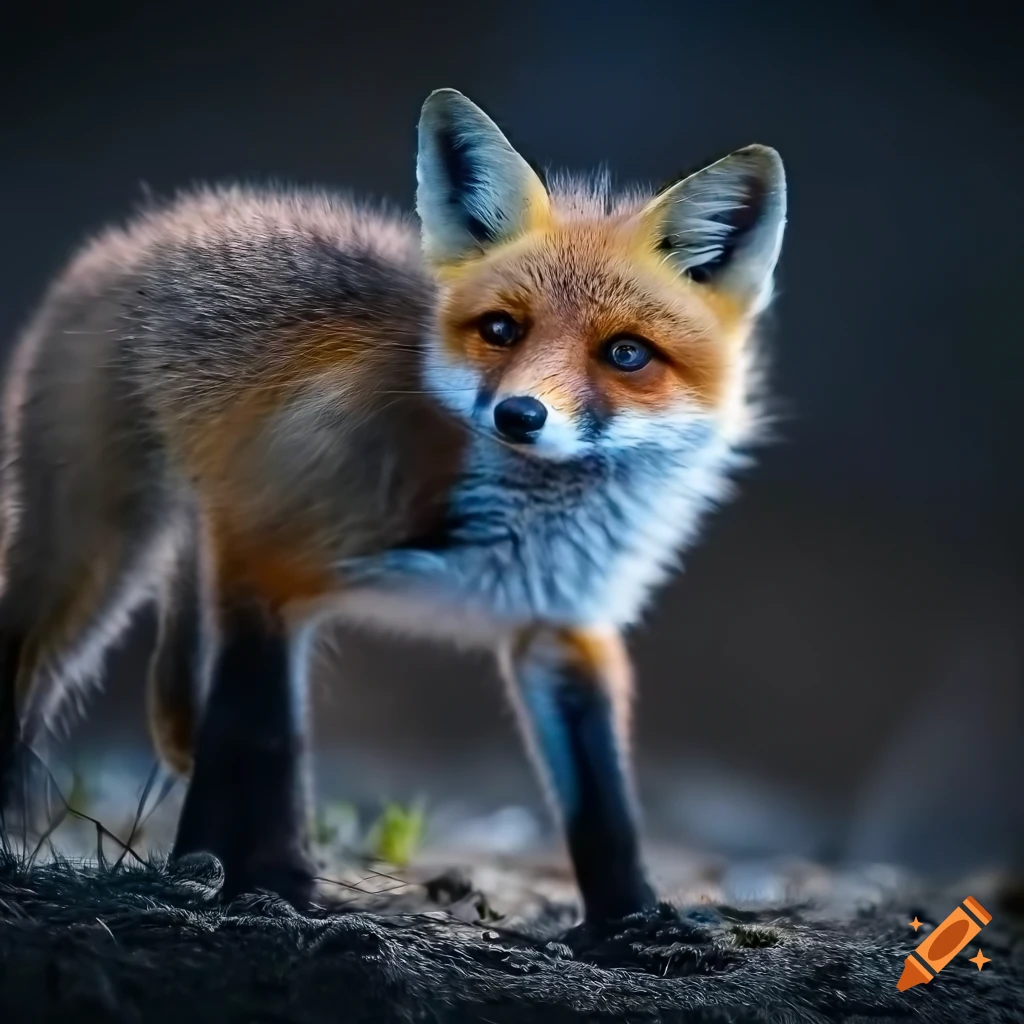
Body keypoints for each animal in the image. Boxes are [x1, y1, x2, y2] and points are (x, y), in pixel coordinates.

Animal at [0, 89, 786, 924]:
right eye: (502, 329)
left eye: (627, 353)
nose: (519, 416)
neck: (520, 529)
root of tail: (153, 226)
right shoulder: (264, 556)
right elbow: (259, 741)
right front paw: (270, 887)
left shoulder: (567, 626)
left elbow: (603, 805)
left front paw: (631, 922)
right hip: (94, 556)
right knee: (35, 663)